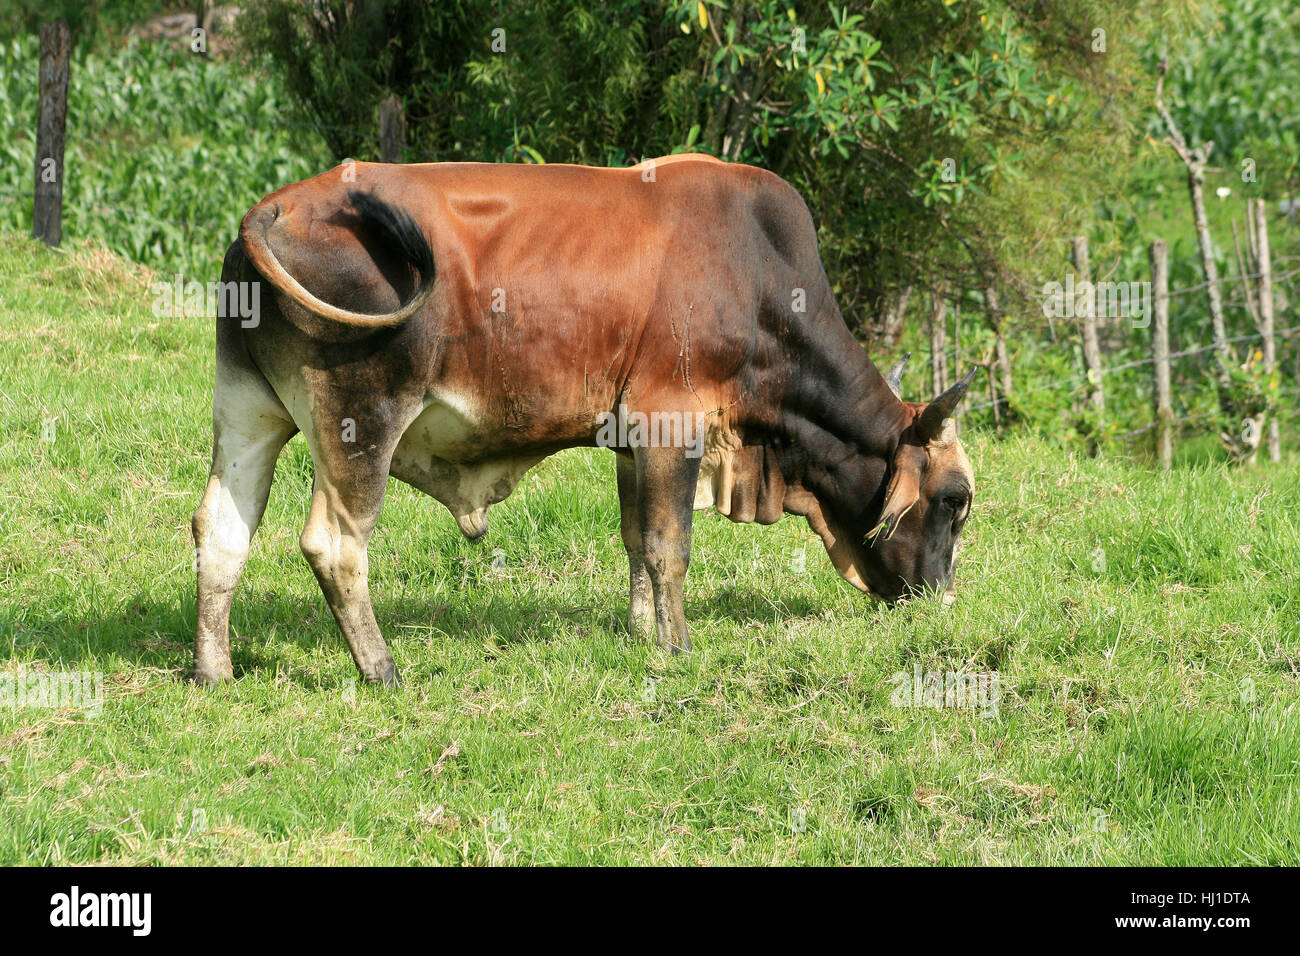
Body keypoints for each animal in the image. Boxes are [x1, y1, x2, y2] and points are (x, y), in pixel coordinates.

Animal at [190, 156, 979, 686]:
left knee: (220, 531)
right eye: (953, 502)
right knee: (334, 545)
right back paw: (381, 667)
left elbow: (634, 541)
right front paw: (676, 646)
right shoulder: (672, 422)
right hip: (362, 421)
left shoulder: (632, 440)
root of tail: (279, 208)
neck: (762, 280)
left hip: (248, 412)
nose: (941, 598)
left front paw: (638, 630)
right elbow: (668, 546)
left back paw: (213, 670)